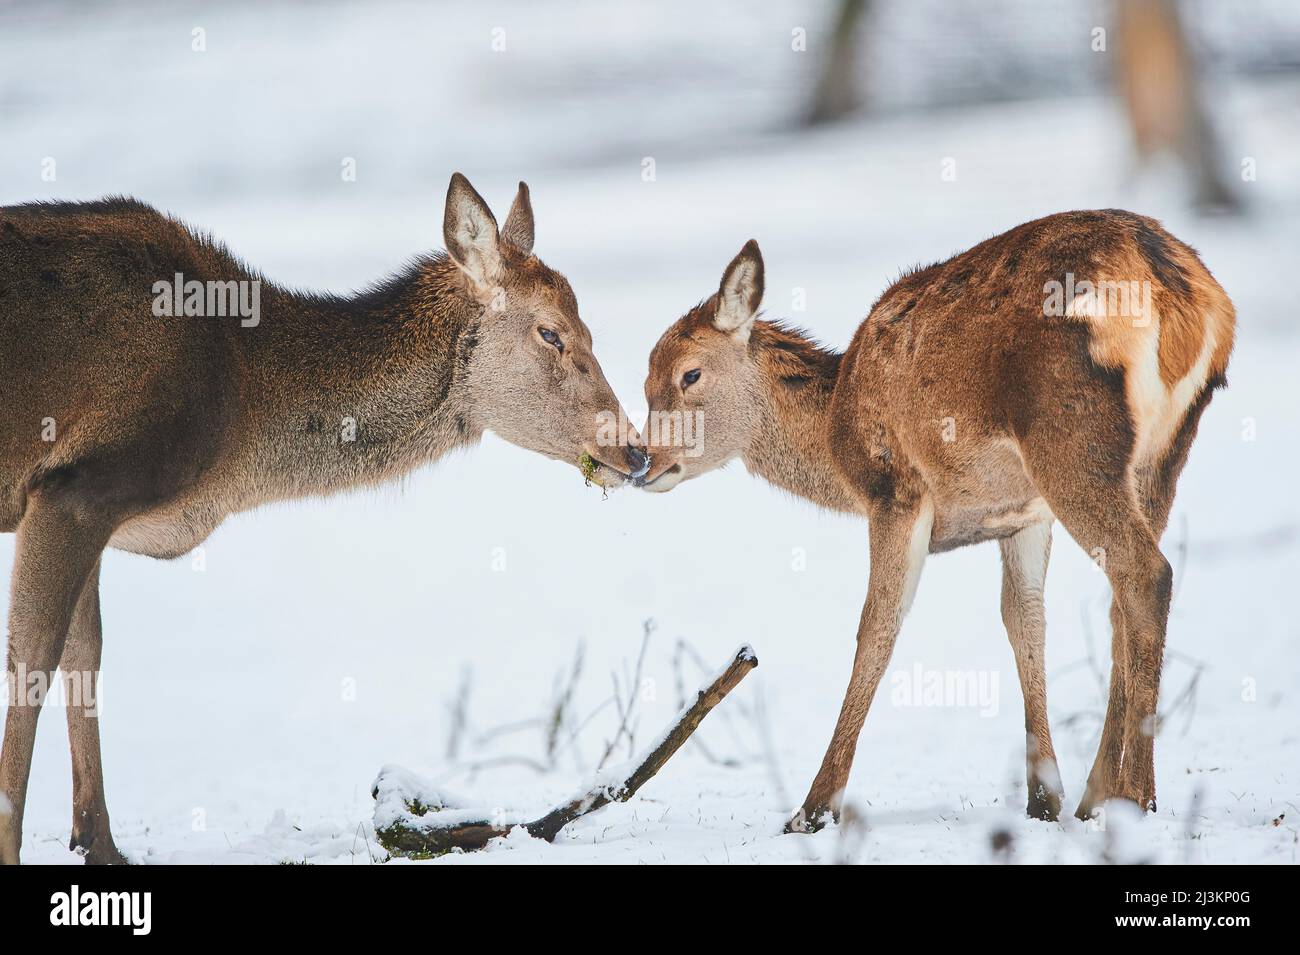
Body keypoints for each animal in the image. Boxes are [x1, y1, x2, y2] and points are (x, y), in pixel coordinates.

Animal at [0, 173, 645, 864]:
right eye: (551, 332)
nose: (634, 451)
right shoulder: (74, 487)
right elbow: (32, 655)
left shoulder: (84, 511)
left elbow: (85, 651)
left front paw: (100, 844)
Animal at [635, 210, 1234, 831]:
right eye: (644, 380)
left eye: (689, 375)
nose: (642, 462)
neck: (835, 435)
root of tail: (1188, 299)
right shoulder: (1022, 514)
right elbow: (1024, 621)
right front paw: (1043, 798)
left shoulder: (895, 490)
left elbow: (877, 626)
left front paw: (813, 808)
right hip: (1160, 457)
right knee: (1123, 599)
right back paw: (1100, 798)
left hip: (1070, 439)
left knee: (1146, 574)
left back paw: (1138, 797)